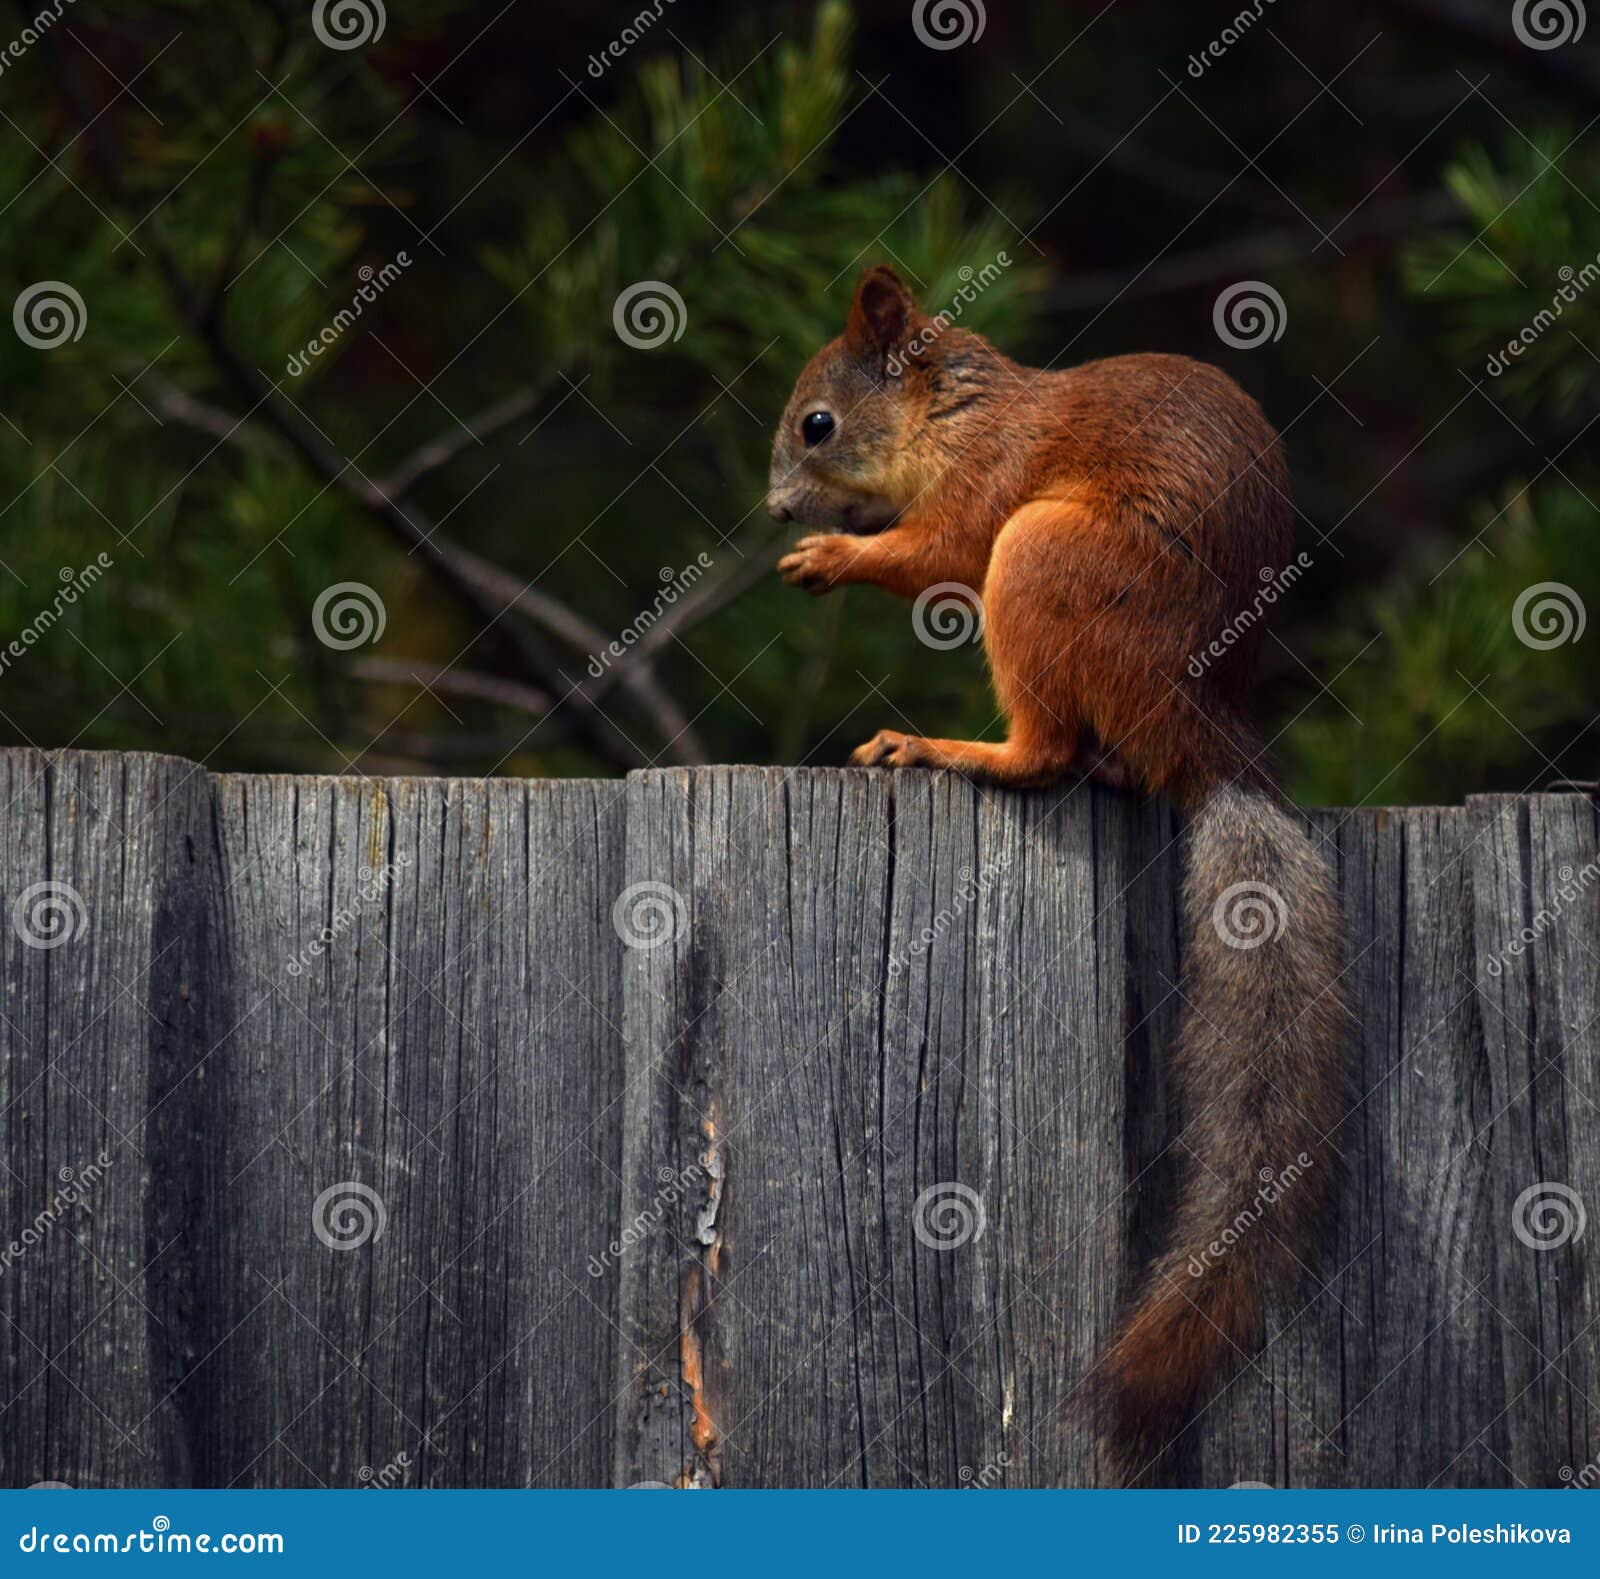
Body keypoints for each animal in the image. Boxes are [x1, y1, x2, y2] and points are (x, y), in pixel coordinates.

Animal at [767, 264, 1347, 1483]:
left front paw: (835, 560)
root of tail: (1210, 744)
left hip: (1046, 561)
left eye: (817, 424)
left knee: (1046, 754)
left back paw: (951, 749)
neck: (957, 407)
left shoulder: (987, 488)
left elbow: (937, 549)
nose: (780, 511)